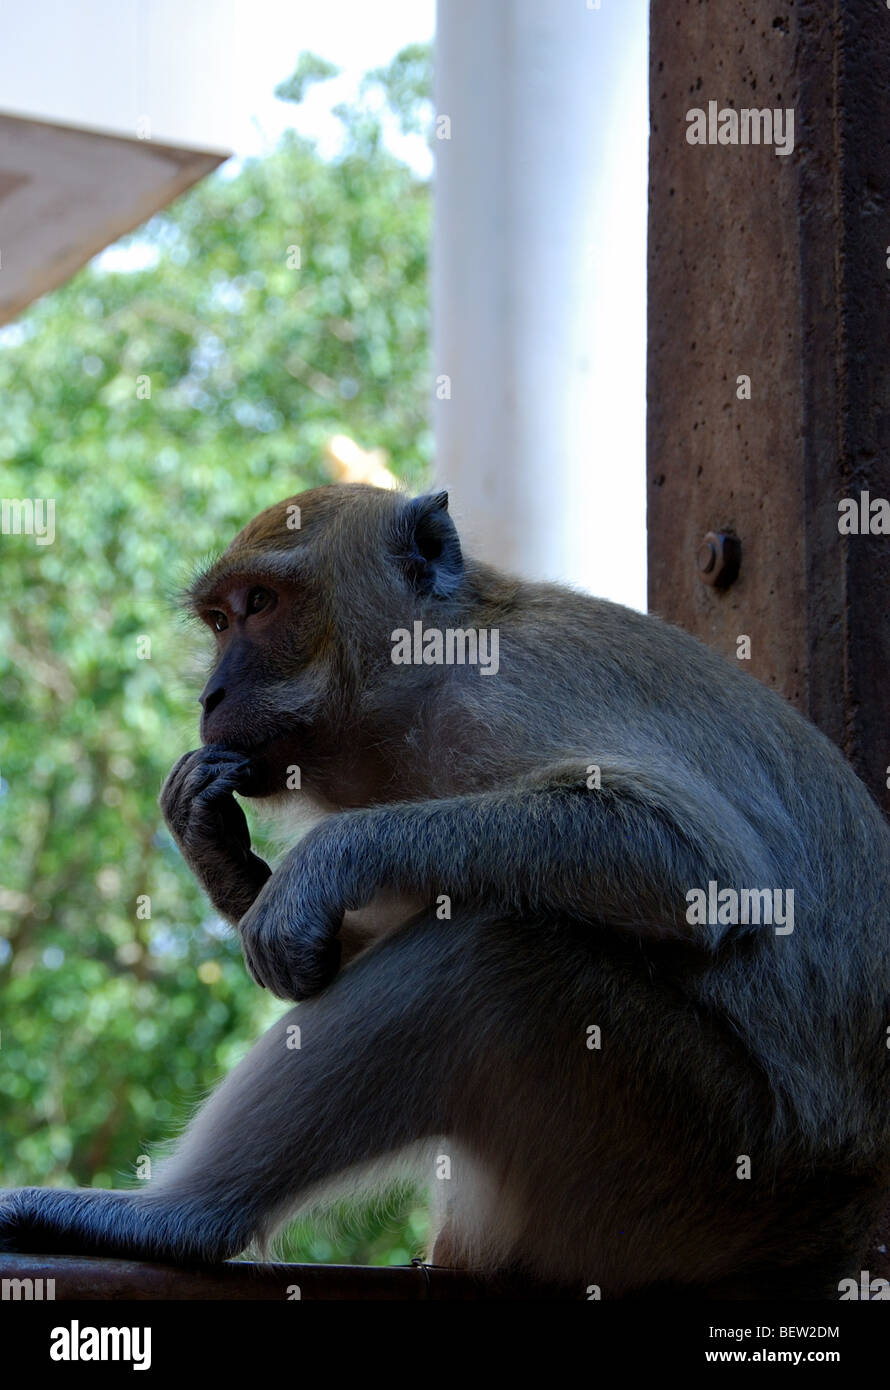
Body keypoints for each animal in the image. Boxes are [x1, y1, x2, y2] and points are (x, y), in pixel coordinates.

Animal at [2, 482, 890, 1299]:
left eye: (261, 605)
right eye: (219, 621)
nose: (209, 697)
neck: (424, 675)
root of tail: (838, 1230)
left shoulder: (507, 698)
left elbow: (700, 866)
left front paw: (323, 863)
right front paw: (212, 841)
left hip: (700, 1171)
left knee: (490, 957)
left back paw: (178, 1219)